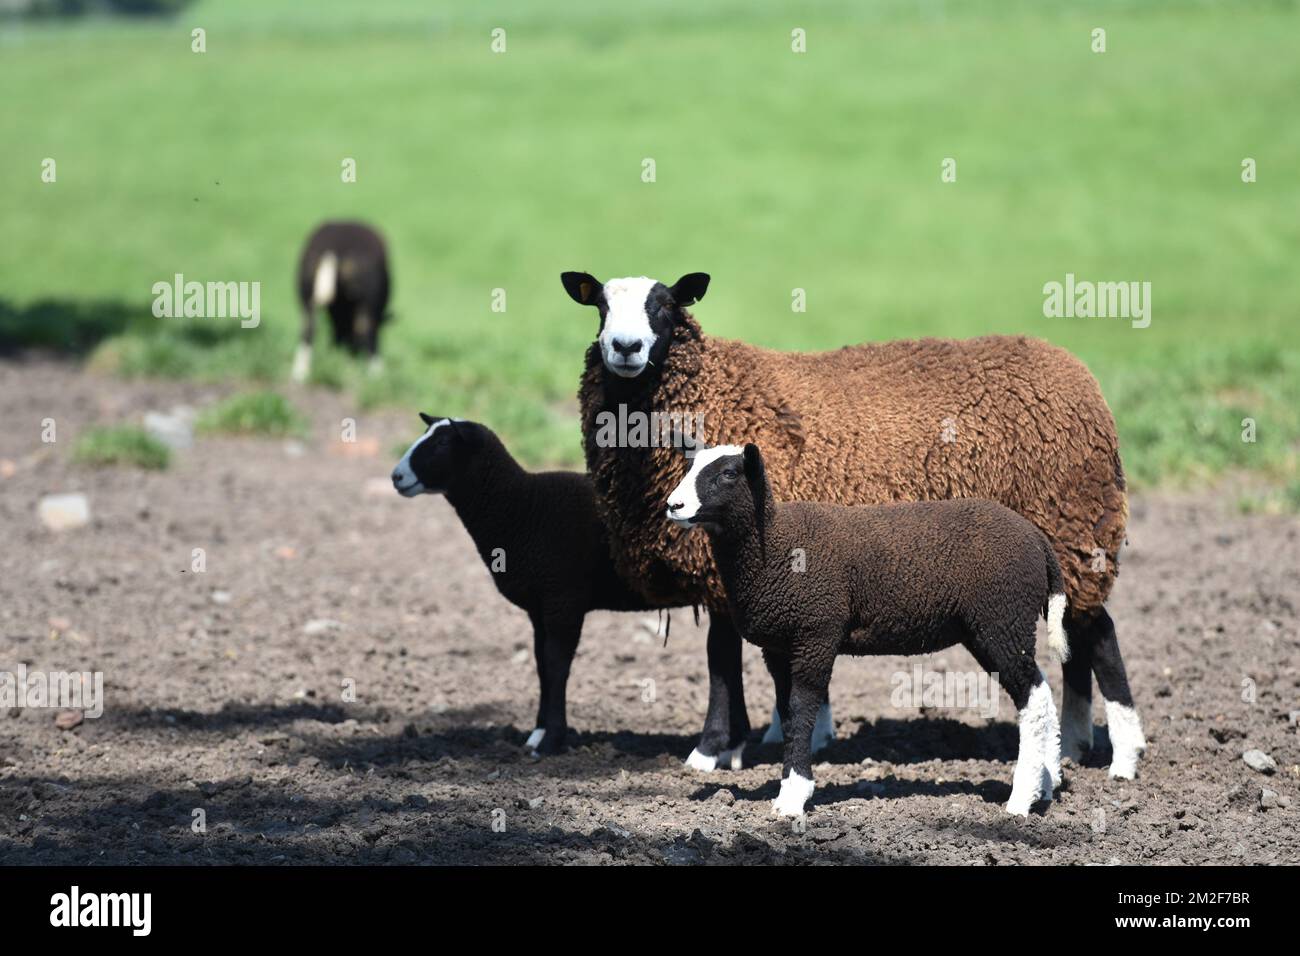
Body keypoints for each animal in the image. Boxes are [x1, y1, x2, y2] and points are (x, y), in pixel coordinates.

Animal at [292, 222, 391, 383]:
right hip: (370, 299)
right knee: (368, 330)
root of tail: (332, 249)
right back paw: (376, 374)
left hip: (306, 294)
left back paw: (300, 373)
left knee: (308, 329)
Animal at [391, 415, 668, 754]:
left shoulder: (563, 600)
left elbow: (557, 665)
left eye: (443, 442)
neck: (523, 507)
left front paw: (551, 740)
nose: (396, 476)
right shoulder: (539, 608)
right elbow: (541, 665)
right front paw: (537, 732)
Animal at [563, 270, 1144, 779]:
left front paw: (711, 750)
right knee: (1073, 641)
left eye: (664, 305)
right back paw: (1072, 745)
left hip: (1073, 529)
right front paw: (752, 743)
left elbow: (721, 661)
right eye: (601, 306)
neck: (715, 389)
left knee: (1100, 636)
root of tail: (1072, 370)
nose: (625, 347)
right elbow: (738, 658)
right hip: (1064, 545)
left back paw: (1122, 756)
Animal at [667, 442, 1068, 817]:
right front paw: (790, 789)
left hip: (1002, 619)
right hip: (997, 628)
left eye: (729, 474)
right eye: (689, 467)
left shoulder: (816, 632)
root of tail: (1038, 540)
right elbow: (787, 712)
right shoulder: (779, 646)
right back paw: (1045, 788)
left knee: (1032, 700)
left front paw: (794, 796)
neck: (775, 544)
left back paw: (1020, 801)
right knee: (1044, 693)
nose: (673, 505)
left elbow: (802, 709)